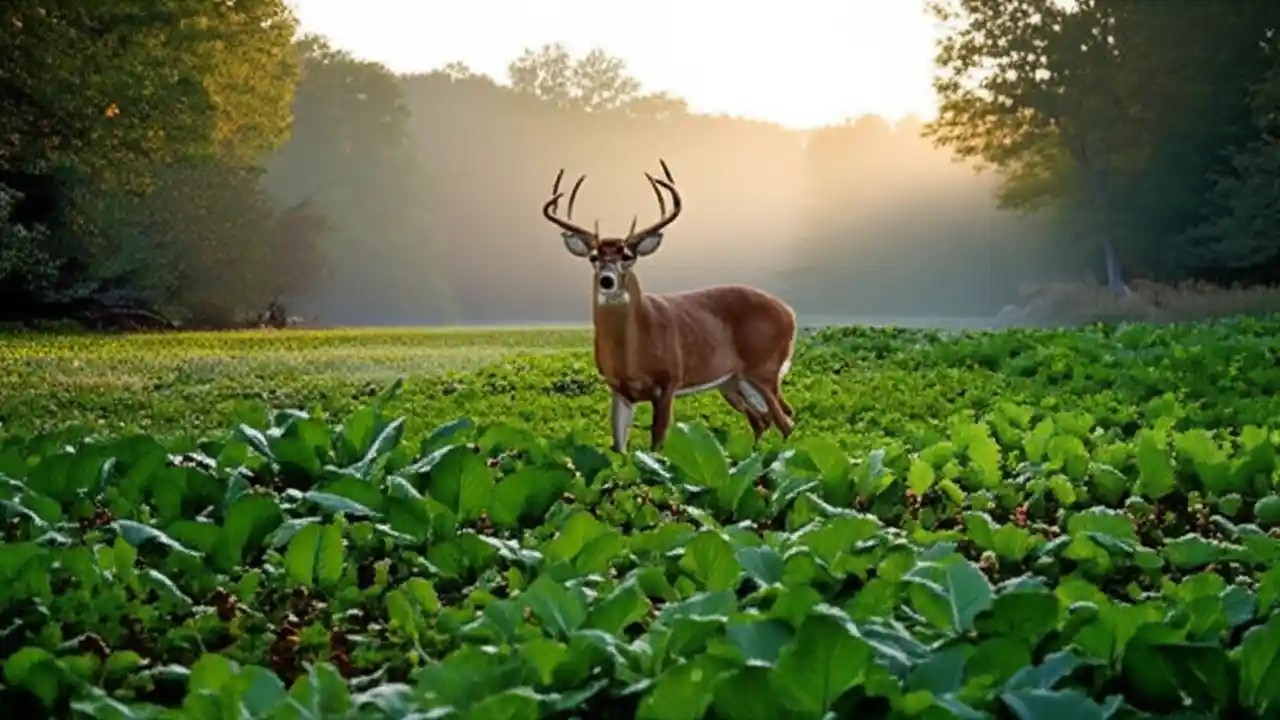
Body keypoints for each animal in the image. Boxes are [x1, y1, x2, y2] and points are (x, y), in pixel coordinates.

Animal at [541, 159, 797, 454]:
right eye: (594, 256)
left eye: (627, 255)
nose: (607, 280)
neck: (632, 356)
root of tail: (790, 313)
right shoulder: (617, 388)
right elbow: (619, 447)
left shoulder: (669, 381)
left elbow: (658, 441)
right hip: (732, 382)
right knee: (763, 420)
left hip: (764, 369)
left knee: (785, 421)